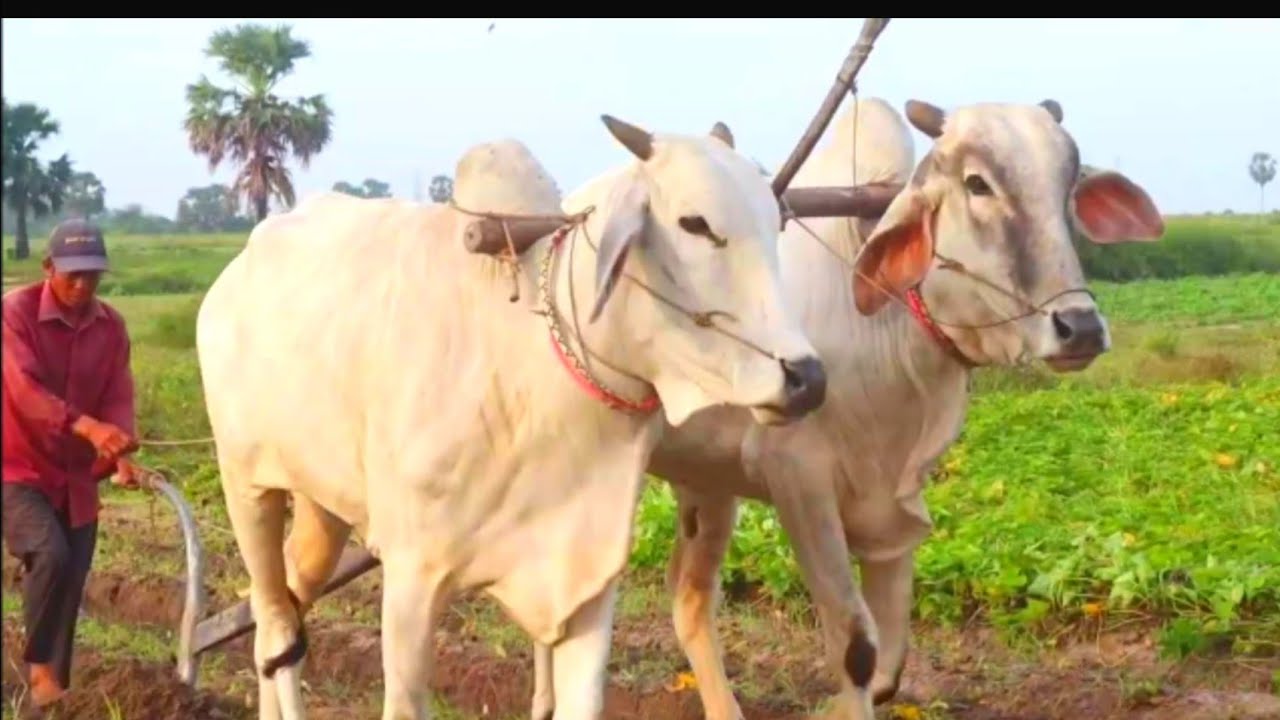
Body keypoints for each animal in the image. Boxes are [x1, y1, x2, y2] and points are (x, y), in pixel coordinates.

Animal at [194, 115, 830, 720]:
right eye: (694, 223)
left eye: (775, 223)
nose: (806, 378)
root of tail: (234, 273)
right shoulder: (409, 578)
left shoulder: (588, 582)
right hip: (245, 484)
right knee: (276, 628)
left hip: (322, 506)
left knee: (282, 612)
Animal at [529, 97, 1164, 720]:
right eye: (977, 184)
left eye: (1067, 188)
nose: (1080, 327)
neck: (885, 326)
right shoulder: (799, 481)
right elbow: (856, 647)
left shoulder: (896, 507)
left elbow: (890, 664)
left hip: (705, 478)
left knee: (687, 597)